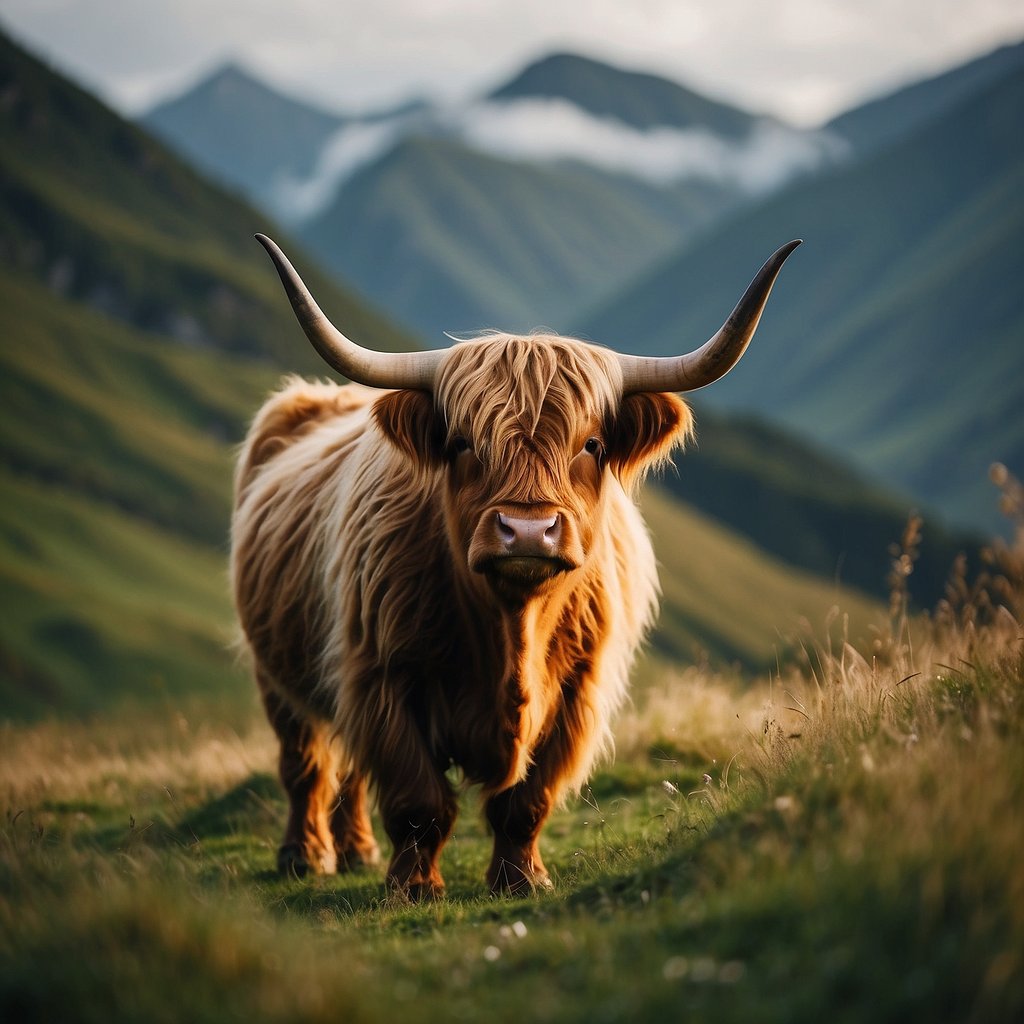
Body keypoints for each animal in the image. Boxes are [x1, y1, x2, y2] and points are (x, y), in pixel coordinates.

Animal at [231, 234, 799, 897]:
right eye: (462, 443)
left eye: (592, 444)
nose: (528, 531)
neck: (509, 630)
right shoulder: (381, 675)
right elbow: (417, 797)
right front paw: (414, 887)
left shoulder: (578, 689)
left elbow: (525, 799)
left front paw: (521, 879)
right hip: (277, 673)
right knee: (307, 763)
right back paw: (305, 854)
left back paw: (357, 851)